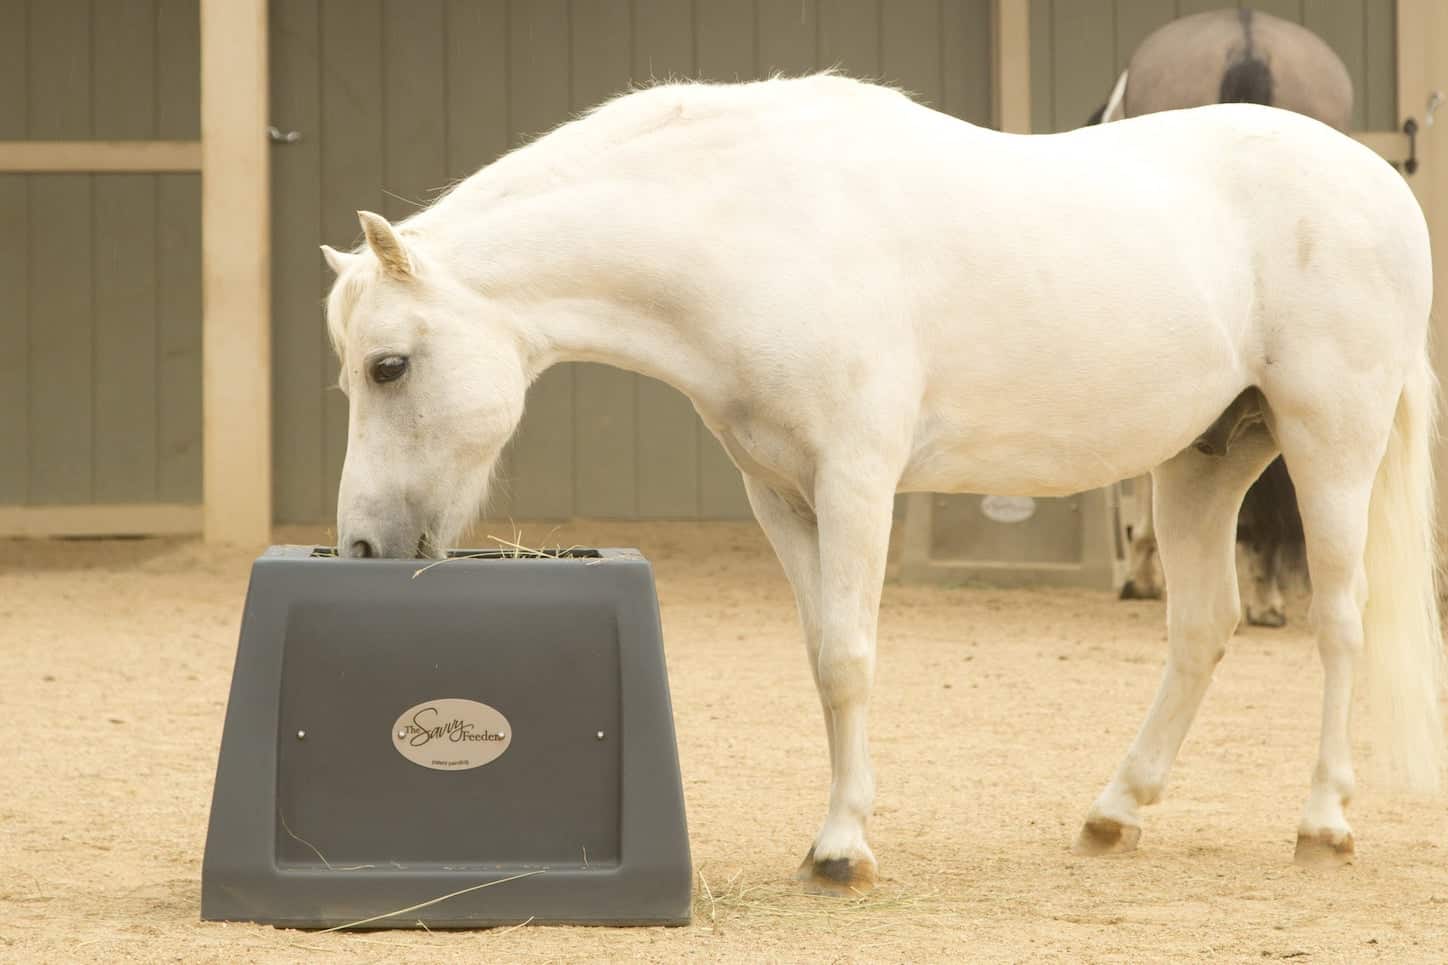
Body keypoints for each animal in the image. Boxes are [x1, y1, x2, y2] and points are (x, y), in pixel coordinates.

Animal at [321, 74, 1442, 890]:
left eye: (389, 366)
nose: (363, 548)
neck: (761, 231)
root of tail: (1377, 183)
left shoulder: (857, 480)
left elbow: (850, 658)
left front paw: (841, 850)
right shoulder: (781, 498)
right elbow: (822, 655)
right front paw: (835, 830)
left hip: (1327, 442)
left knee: (1339, 620)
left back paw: (1322, 822)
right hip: (1207, 460)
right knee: (1201, 629)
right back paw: (1112, 811)